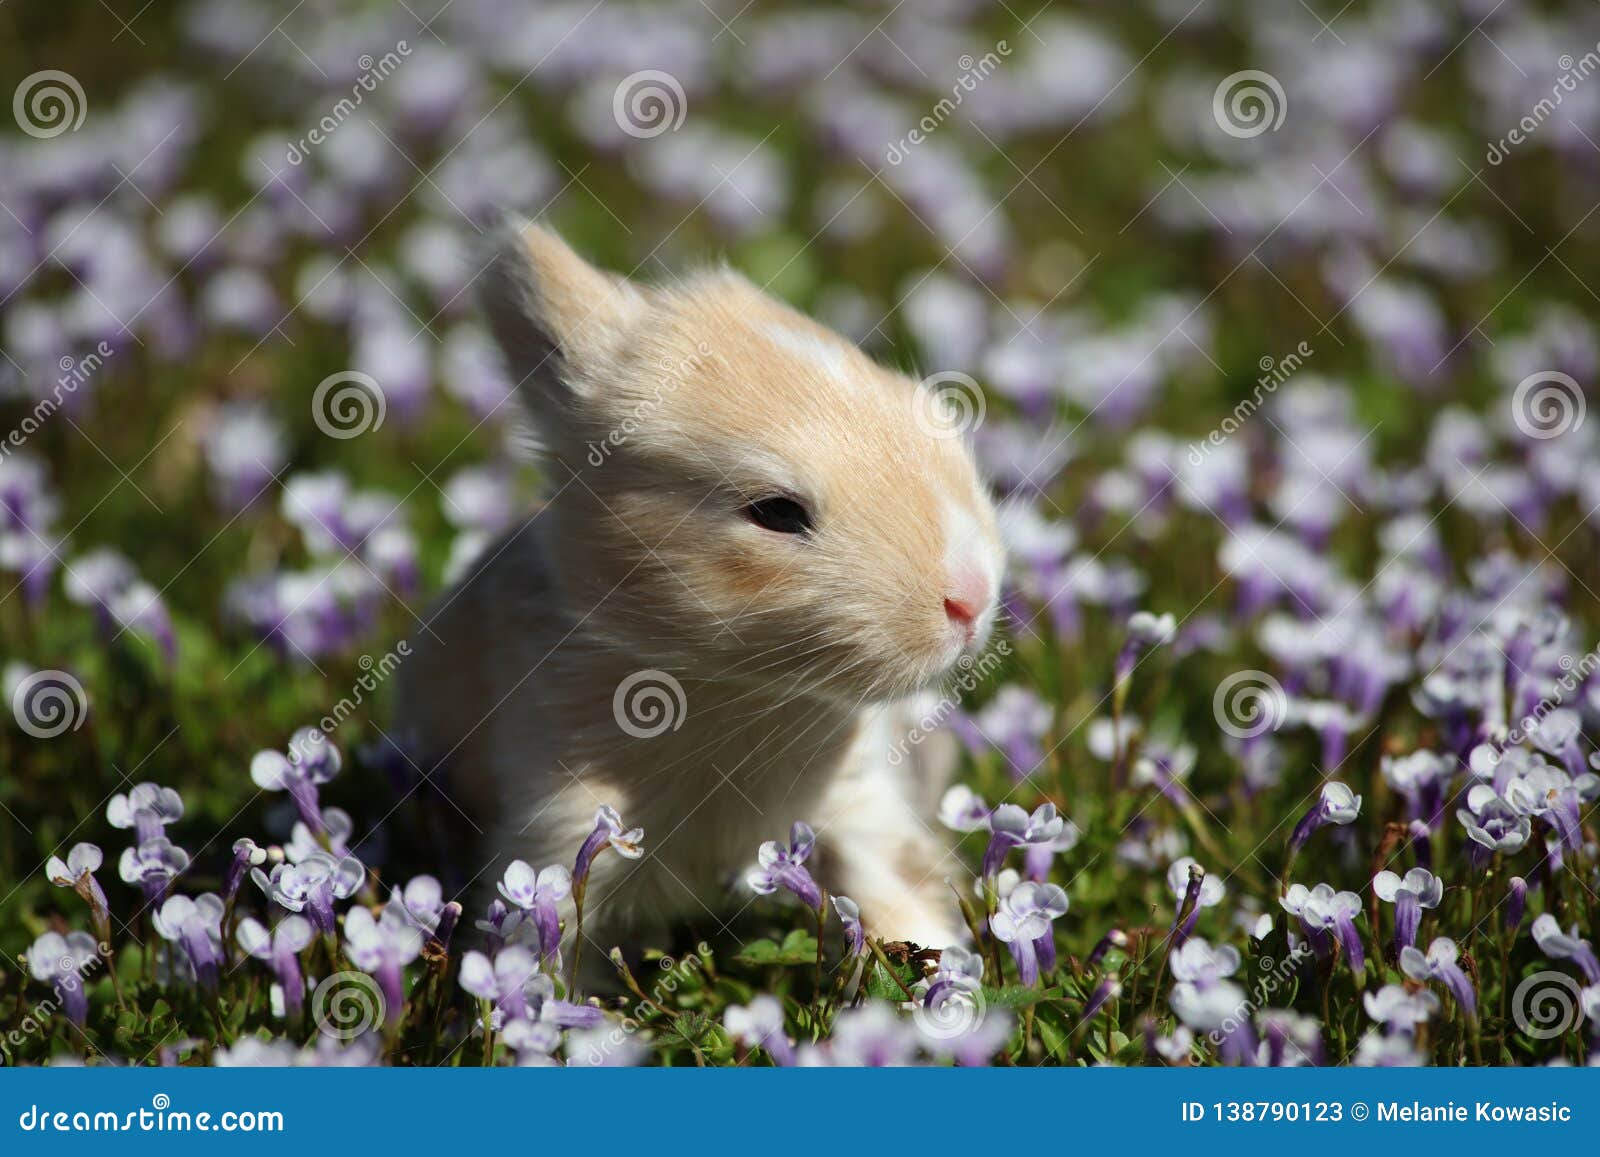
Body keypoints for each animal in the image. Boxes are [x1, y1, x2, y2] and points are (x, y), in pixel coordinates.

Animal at [396, 221, 1005, 979]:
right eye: (775, 512)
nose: (972, 597)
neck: (734, 694)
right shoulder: (561, 829)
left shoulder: (860, 812)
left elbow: (893, 894)